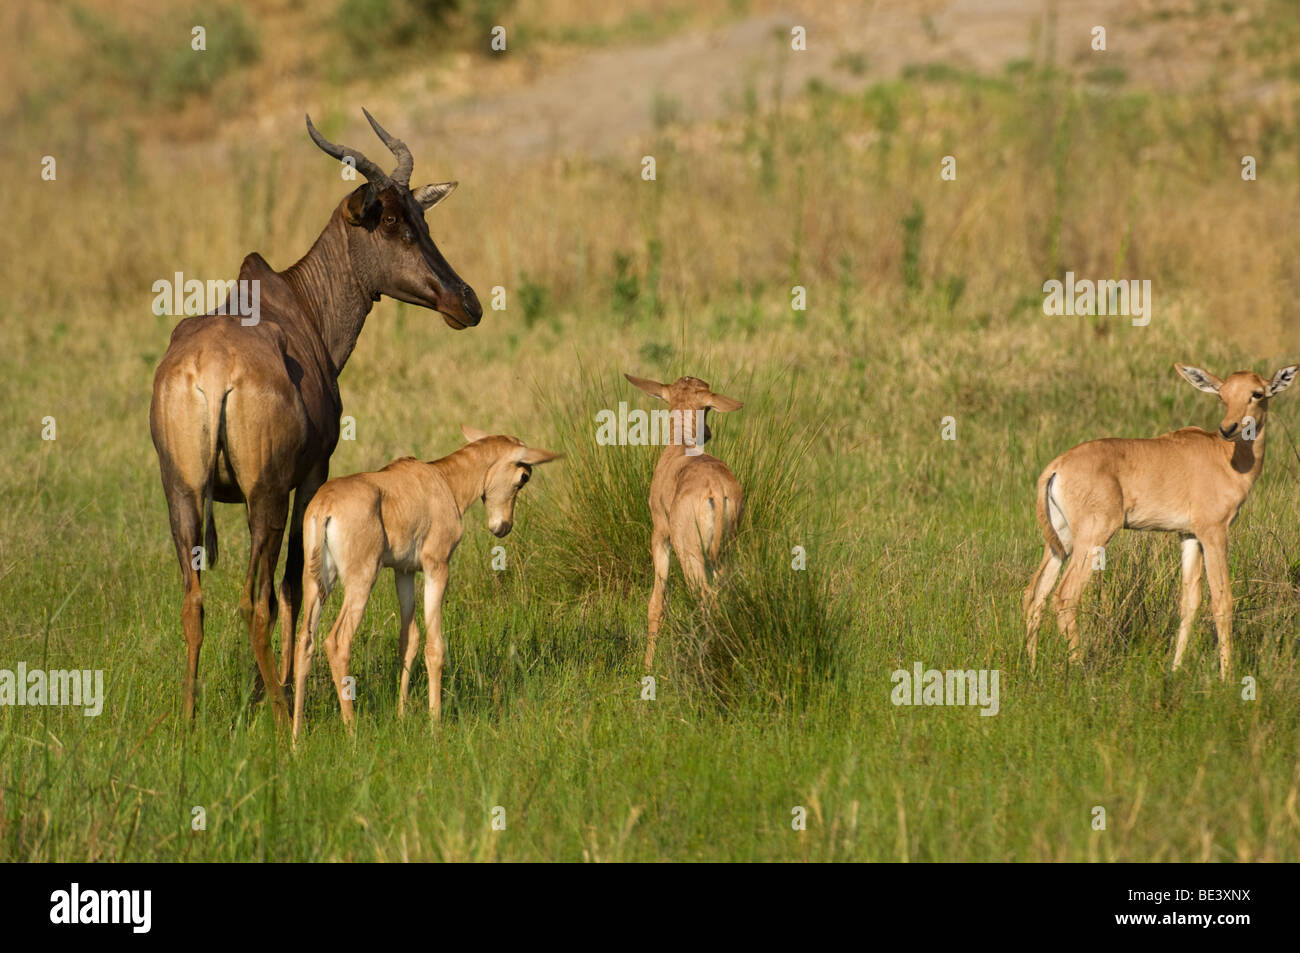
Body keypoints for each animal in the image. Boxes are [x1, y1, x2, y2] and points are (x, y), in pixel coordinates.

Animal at [150, 110, 482, 724]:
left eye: (423, 216)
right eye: (390, 221)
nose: (466, 303)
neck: (297, 301)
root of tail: (213, 370)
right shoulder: (310, 477)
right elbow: (293, 588)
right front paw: (273, 693)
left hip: (180, 491)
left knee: (194, 599)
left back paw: (188, 718)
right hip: (266, 497)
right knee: (256, 600)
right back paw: (282, 713)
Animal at [291, 427, 561, 739]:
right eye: (524, 476)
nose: (503, 526)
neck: (440, 479)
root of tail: (324, 507)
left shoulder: (404, 572)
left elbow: (409, 639)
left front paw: (401, 716)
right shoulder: (437, 568)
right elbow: (435, 646)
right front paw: (435, 723)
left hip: (317, 582)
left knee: (305, 640)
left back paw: (295, 737)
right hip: (362, 579)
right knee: (337, 641)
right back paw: (353, 731)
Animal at [624, 374, 744, 670]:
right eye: (707, 407)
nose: (708, 433)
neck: (681, 449)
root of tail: (716, 490)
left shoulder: (660, 534)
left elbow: (657, 604)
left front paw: (647, 667)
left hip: (691, 556)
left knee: (707, 601)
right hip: (724, 553)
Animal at [1023, 362, 1297, 679]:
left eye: (1257, 393)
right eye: (1223, 395)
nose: (1228, 428)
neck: (1226, 457)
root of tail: (1056, 467)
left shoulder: (1188, 536)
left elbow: (1189, 601)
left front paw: (1176, 668)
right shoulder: (1214, 533)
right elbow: (1222, 599)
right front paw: (1227, 676)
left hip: (1061, 542)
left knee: (1035, 593)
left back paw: (1031, 667)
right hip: (1094, 537)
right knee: (1066, 595)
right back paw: (1080, 670)